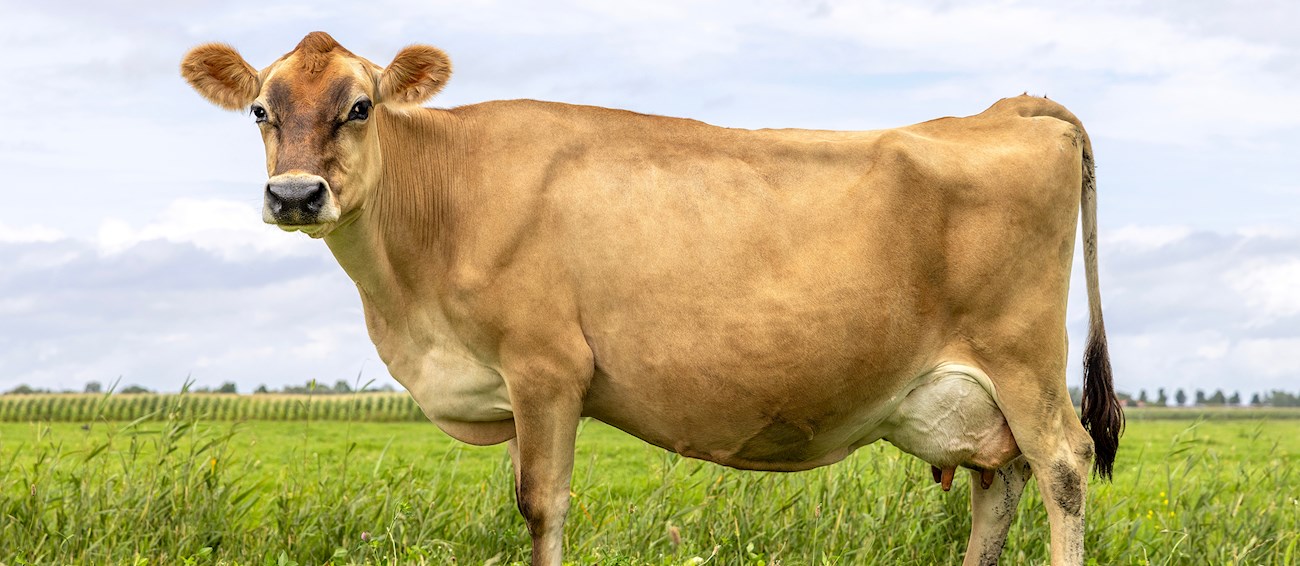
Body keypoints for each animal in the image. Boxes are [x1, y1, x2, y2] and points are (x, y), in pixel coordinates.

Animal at [181, 32, 1123, 566]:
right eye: (260, 109)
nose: (296, 196)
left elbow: (541, 506)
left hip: (1022, 359)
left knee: (1063, 464)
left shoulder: (546, 369)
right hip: (971, 392)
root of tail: (1008, 108)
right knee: (999, 480)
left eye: (362, 107)